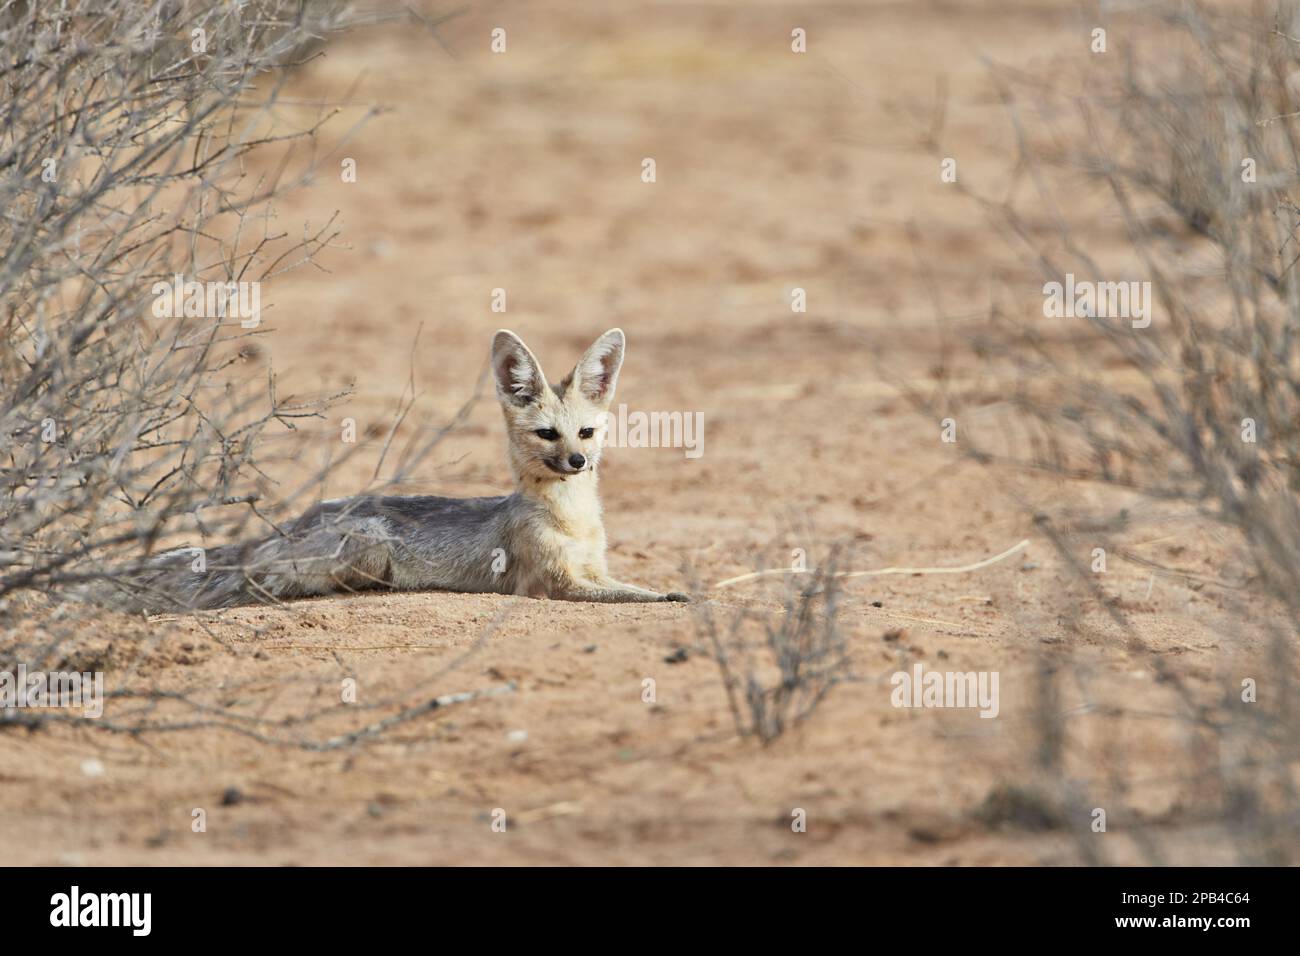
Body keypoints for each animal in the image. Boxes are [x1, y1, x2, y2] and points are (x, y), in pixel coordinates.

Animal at [99, 329, 690, 611]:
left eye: (585, 433)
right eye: (548, 434)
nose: (577, 461)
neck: (572, 519)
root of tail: (298, 519)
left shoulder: (594, 569)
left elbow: (628, 583)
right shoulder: (555, 585)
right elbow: (636, 596)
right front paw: (675, 596)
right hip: (368, 550)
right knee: (272, 583)